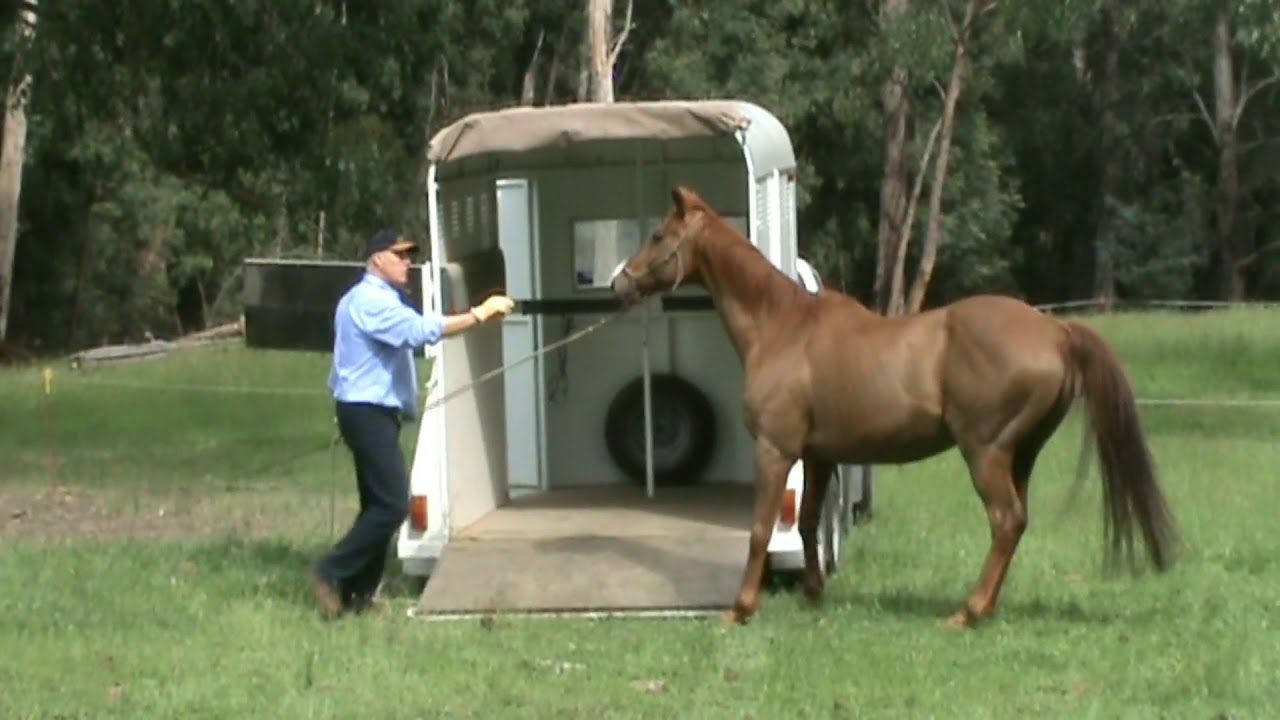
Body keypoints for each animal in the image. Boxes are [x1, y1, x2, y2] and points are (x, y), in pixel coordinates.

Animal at [610, 185, 1180, 628]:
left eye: (657, 236)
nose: (619, 284)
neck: (783, 327)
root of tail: (1055, 330)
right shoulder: (820, 456)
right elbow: (811, 521)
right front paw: (814, 593)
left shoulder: (776, 450)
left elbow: (759, 531)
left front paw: (741, 608)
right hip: (1022, 454)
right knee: (1016, 524)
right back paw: (986, 606)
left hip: (985, 452)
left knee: (1005, 520)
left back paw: (968, 612)